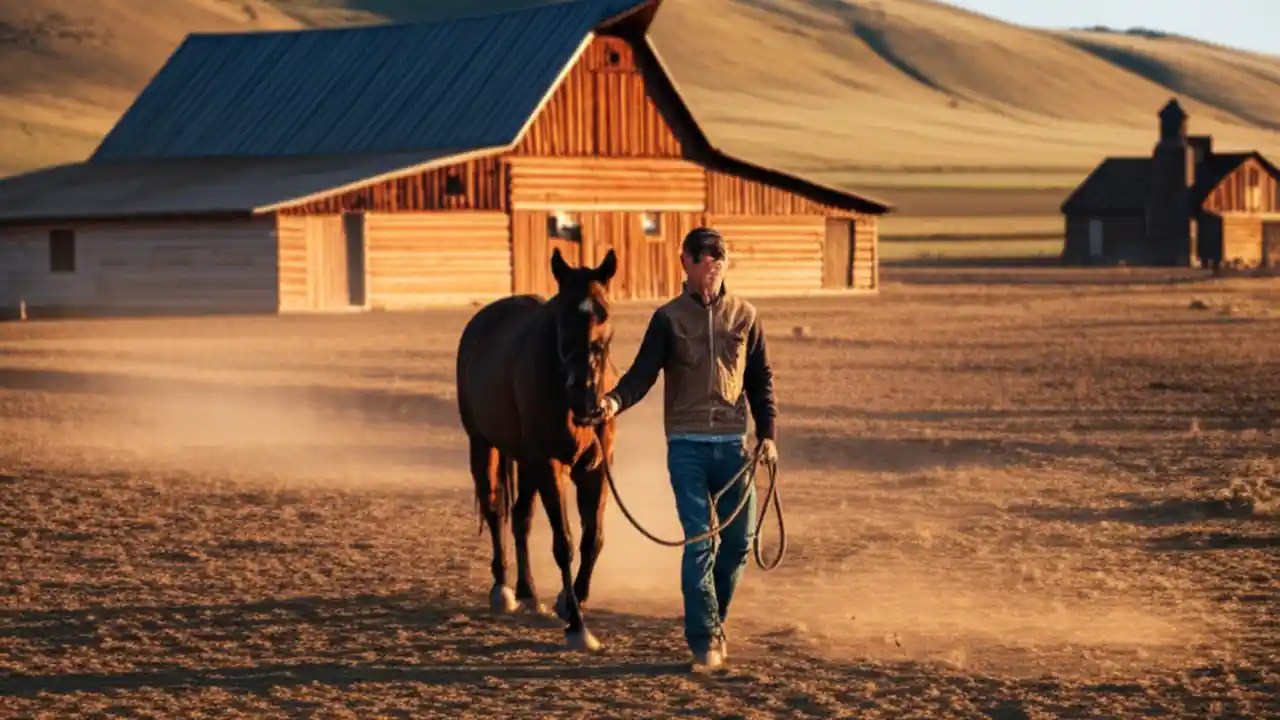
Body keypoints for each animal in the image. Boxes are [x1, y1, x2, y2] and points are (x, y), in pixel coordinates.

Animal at [454, 247, 618, 652]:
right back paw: (503, 590)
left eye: (604, 313)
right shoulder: (549, 465)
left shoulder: (595, 468)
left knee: (521, 517)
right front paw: (577, 626)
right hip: (484, 446)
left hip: (525, 461)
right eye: (562, 316)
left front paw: (570, 601)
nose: (586, 399)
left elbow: (593, 539)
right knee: (495, 510)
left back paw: (528, 592)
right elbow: (565, 543)